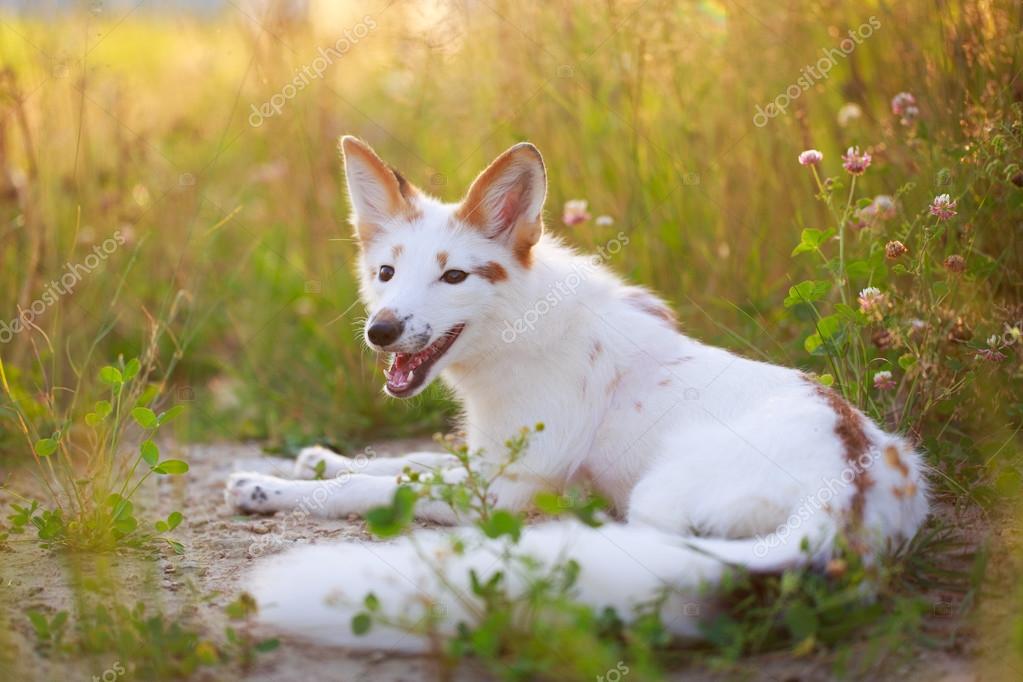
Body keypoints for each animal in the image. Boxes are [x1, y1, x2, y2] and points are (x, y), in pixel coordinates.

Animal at [224, 136, 929, 651]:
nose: (382, 330)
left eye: (454, 277)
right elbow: (398, 461)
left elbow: (367, 487)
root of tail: (850, 497)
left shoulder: (502, 488)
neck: (521, 327)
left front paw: (275, 490)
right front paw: (303, 463)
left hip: (658, 505)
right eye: (386, 273)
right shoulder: (483, 454)